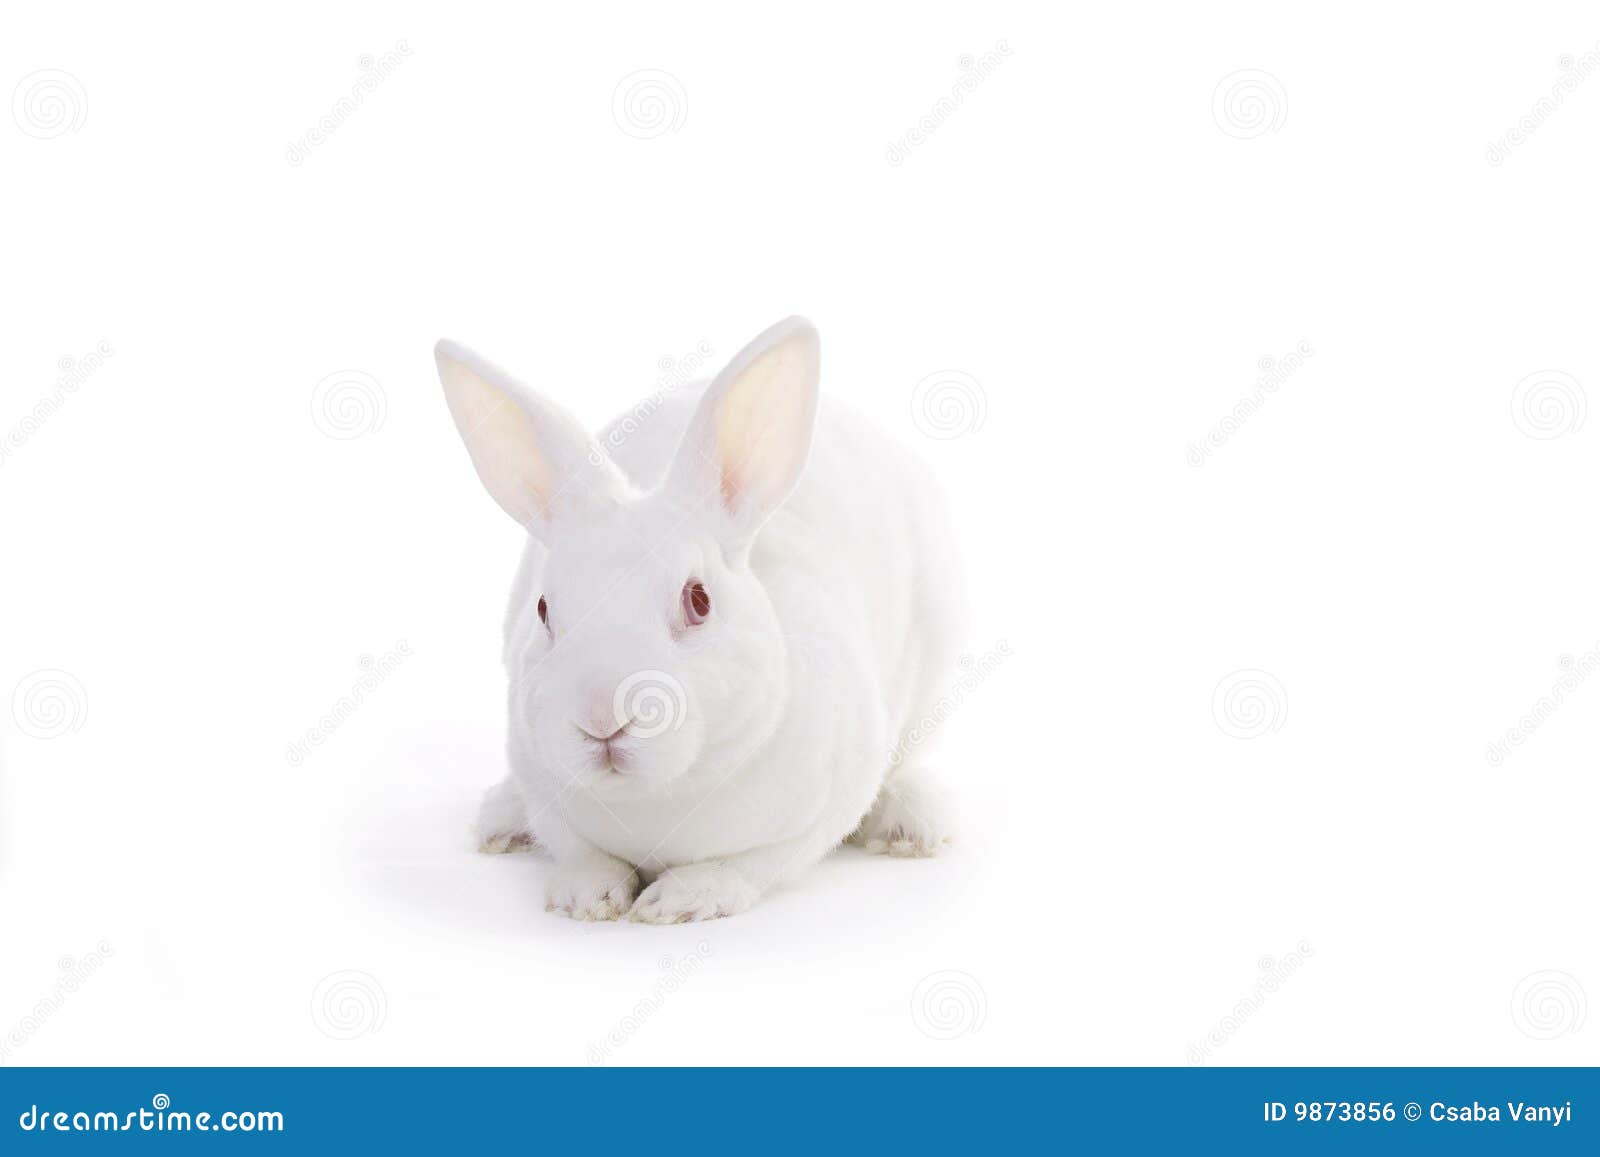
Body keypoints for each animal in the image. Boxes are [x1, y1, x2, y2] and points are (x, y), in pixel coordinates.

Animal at [434, 316, 966, 922]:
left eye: (700, 600)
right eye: (544, 609)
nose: (602, 718)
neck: (659, 798)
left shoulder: (821, 809)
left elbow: (750, 865)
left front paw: (677, 901)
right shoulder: (541, 783)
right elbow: (578, 851)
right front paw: (586, 898)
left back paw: (913, 825)